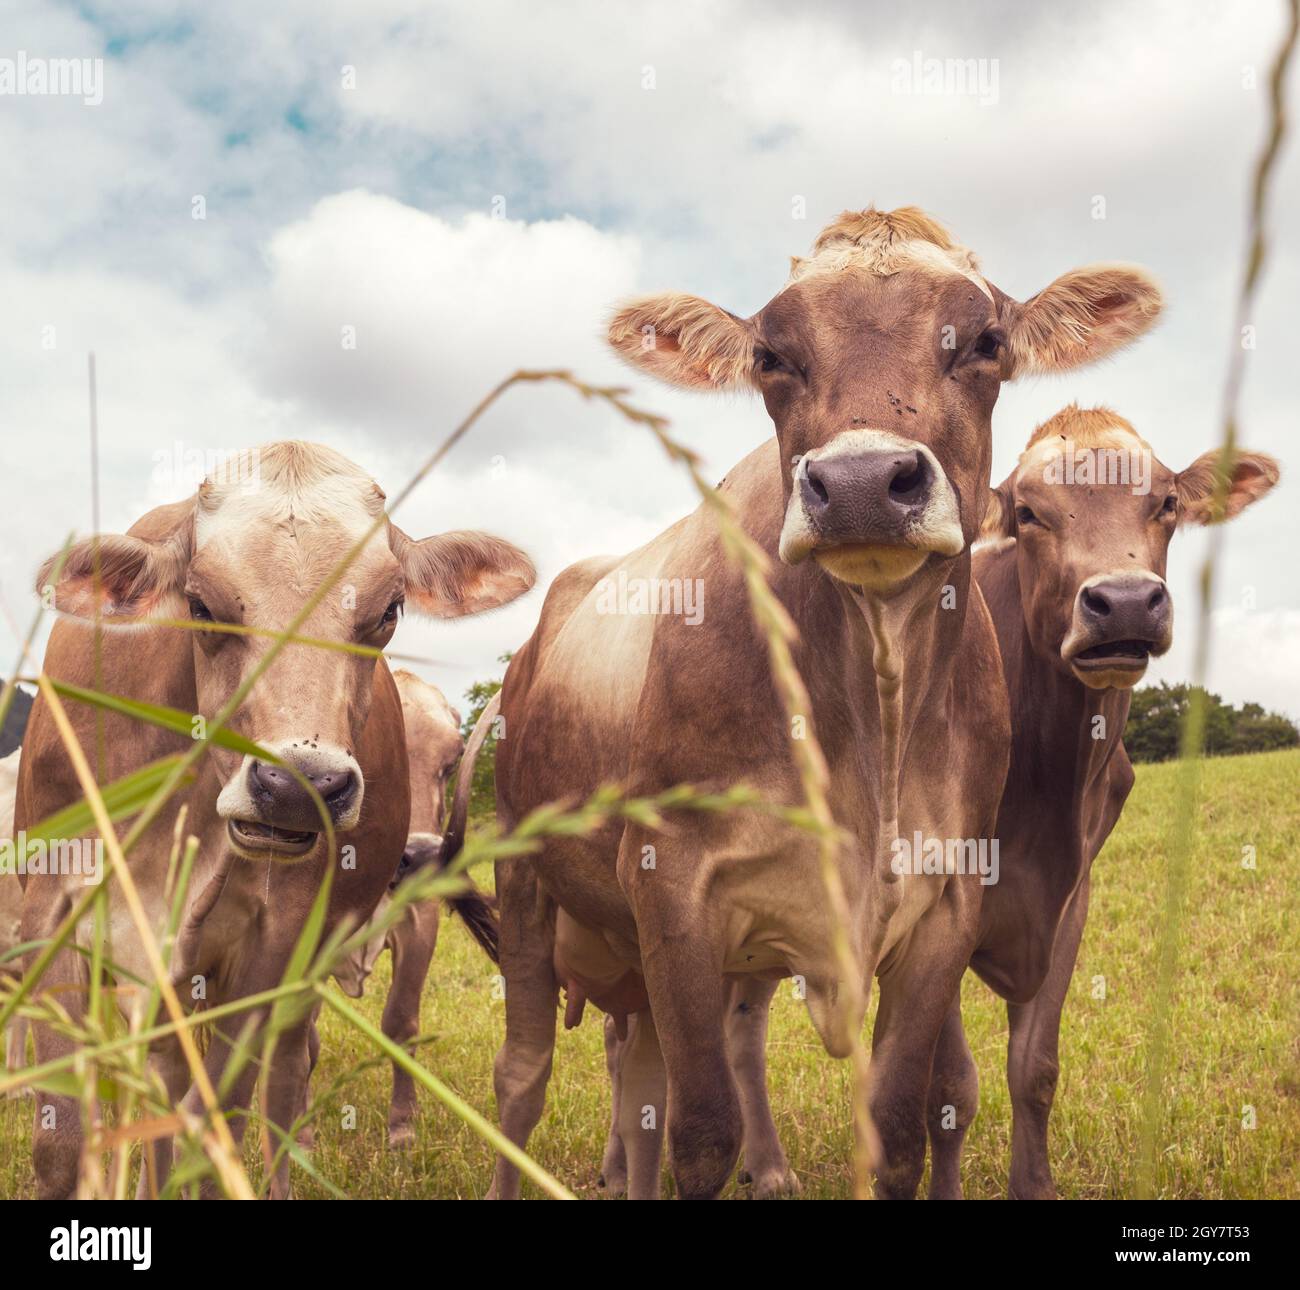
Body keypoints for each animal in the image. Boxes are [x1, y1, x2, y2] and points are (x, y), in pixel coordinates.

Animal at [455, 206, 1163, 1199]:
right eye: (770, 355)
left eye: (985, 342)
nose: (863, 486)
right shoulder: (671, 882)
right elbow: (701, 1134)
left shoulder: (946, 904)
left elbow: (902, 1130)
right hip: (527, 881)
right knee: (525, 1077)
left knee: (639, 1081)